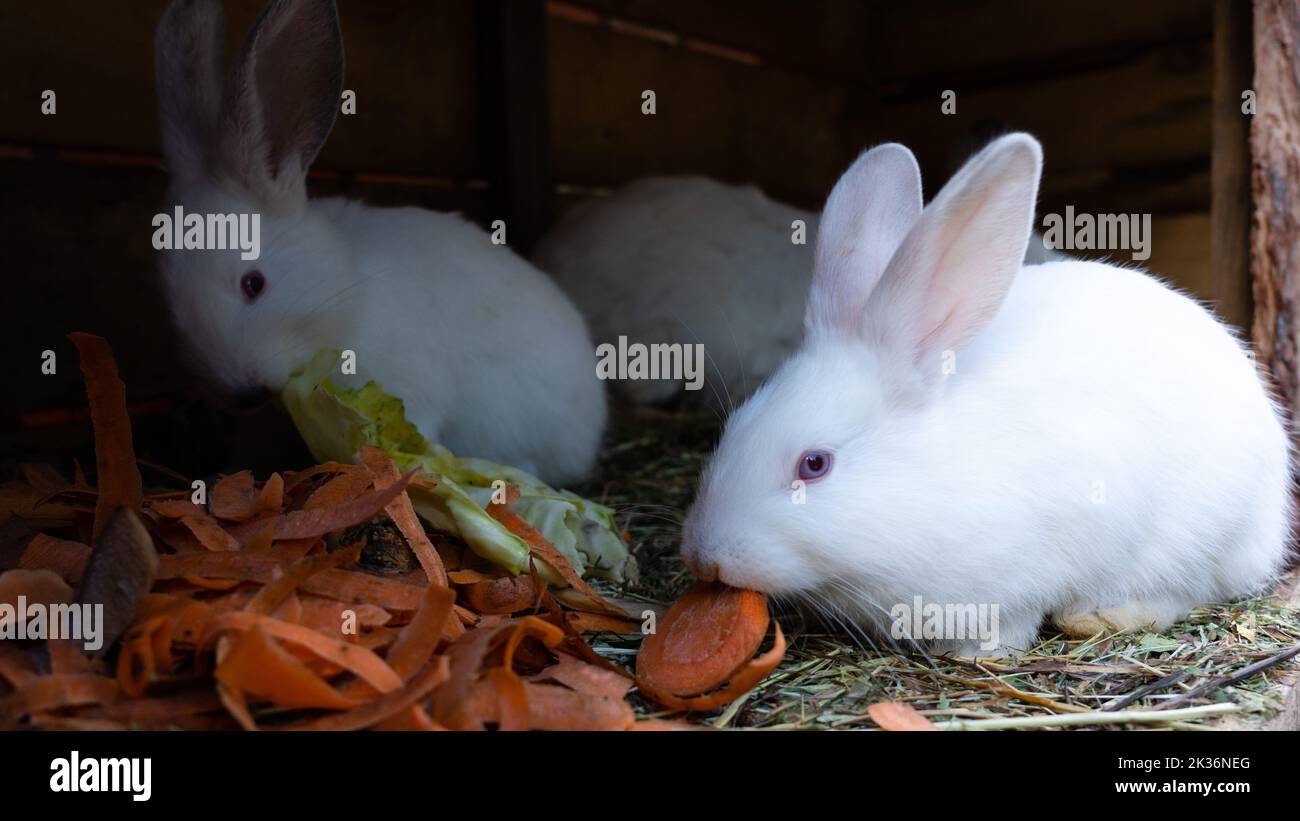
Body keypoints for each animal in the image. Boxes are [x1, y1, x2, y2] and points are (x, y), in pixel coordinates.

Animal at [154, 0, 606, 486]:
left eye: (253, 284)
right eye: (170, 306)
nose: (244, 393)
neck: (346, 295)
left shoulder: (407, 387)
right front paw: (226, 474)